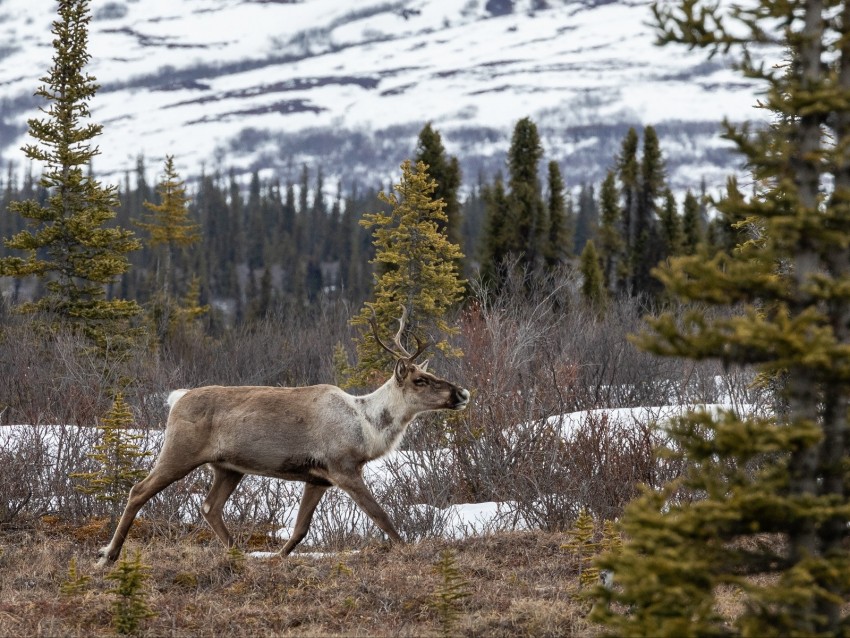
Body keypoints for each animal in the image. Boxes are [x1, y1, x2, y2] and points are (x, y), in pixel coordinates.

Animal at [97, 309, 470, 566]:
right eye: (420, 380)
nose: (462, 392)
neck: (367, 427)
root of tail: (176, 399)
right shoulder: (343, 467)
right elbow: (380, 514)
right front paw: (408, 550)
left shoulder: (318, 478)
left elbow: (301, 528)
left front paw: (277, 557)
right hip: (179, 451)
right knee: (138, 490)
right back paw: (109, 555)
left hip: (228, 467)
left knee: (209, 506)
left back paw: (238, 554)